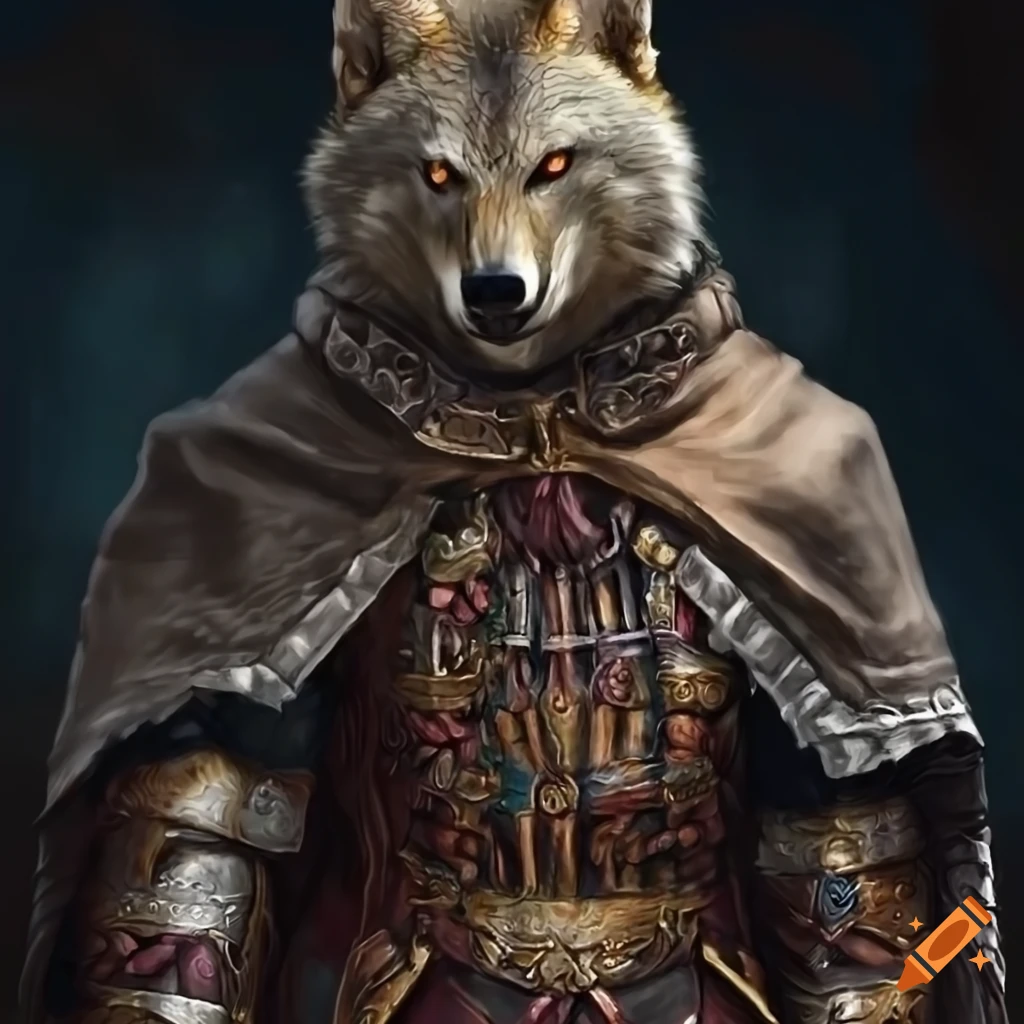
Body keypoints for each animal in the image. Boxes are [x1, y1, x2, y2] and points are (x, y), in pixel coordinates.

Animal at [22, 2, 1006, 1024]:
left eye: (556, 165)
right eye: (438, 174)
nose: (495, 291)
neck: (539, 425)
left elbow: (834, 826)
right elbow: (212, 800)